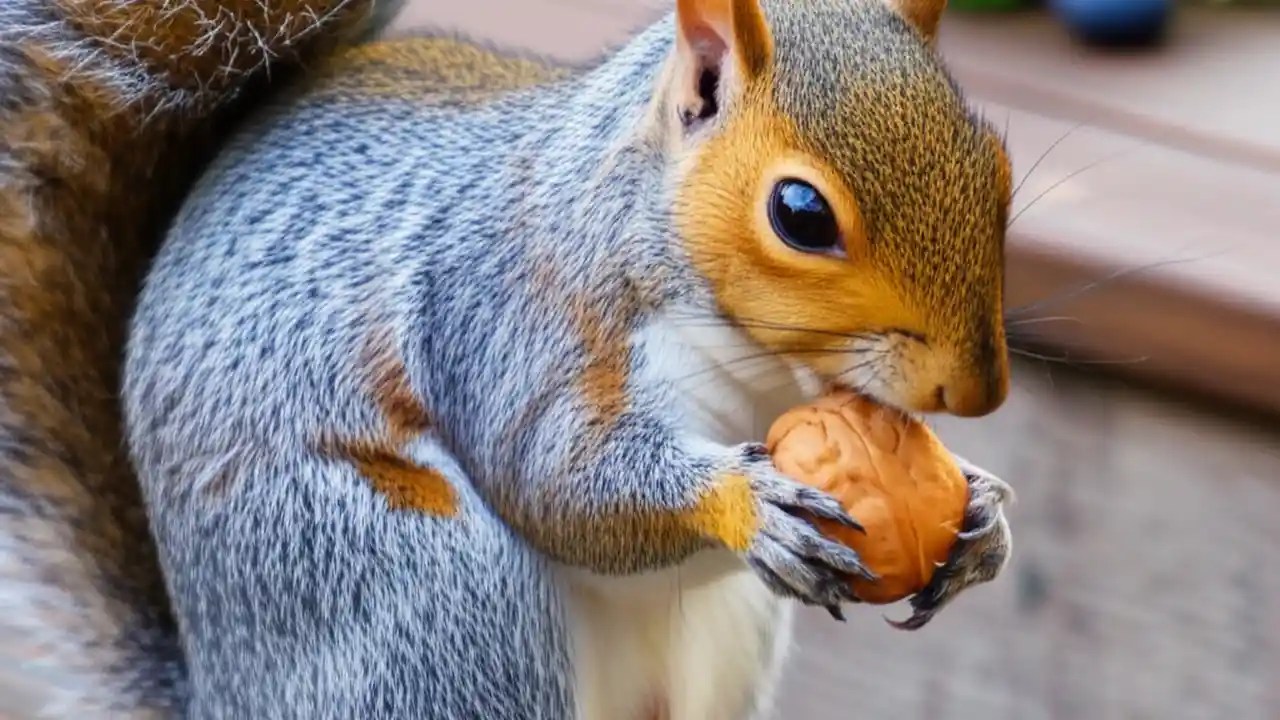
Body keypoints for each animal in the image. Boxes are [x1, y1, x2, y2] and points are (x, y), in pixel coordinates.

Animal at [2, 0, 1015, 717]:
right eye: (799, 214)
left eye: (999, 170)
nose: (977, 391)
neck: (760, 372)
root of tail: (224, 697)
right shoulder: (511, 314)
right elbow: (557, 476)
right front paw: (744, 500)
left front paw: (981, 514)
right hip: (429, 594)